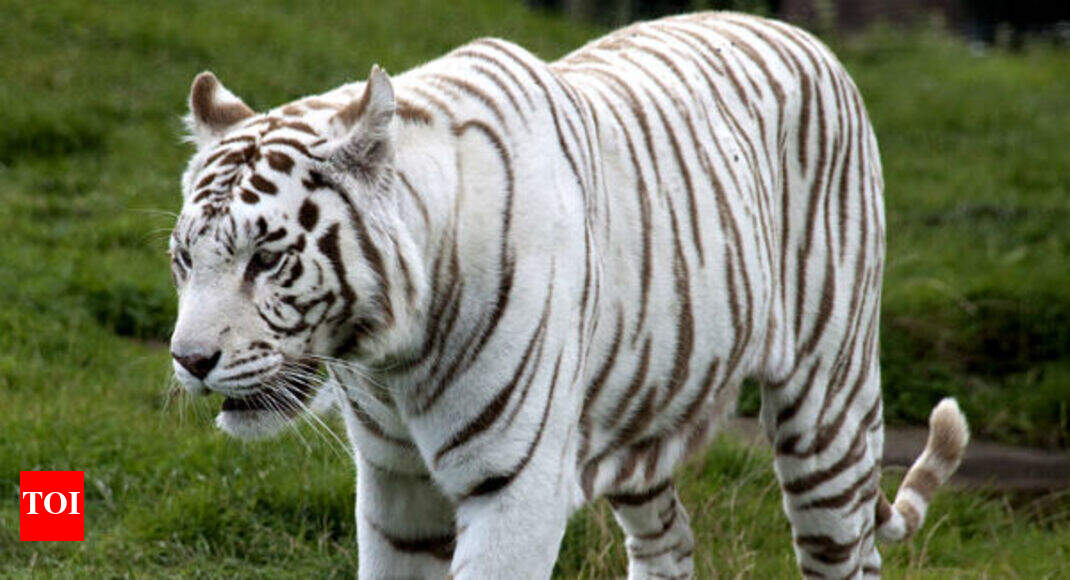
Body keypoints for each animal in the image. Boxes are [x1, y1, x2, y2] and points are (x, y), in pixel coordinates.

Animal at [168, 11, 969, 579]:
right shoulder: (395, 484)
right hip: (642, 407)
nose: (189, 361)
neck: (389, 358)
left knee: (850, 550)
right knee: (670, 542)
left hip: (827, 407)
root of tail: (807, 37)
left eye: (266, 258)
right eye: (184, 260)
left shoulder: (513, 486)